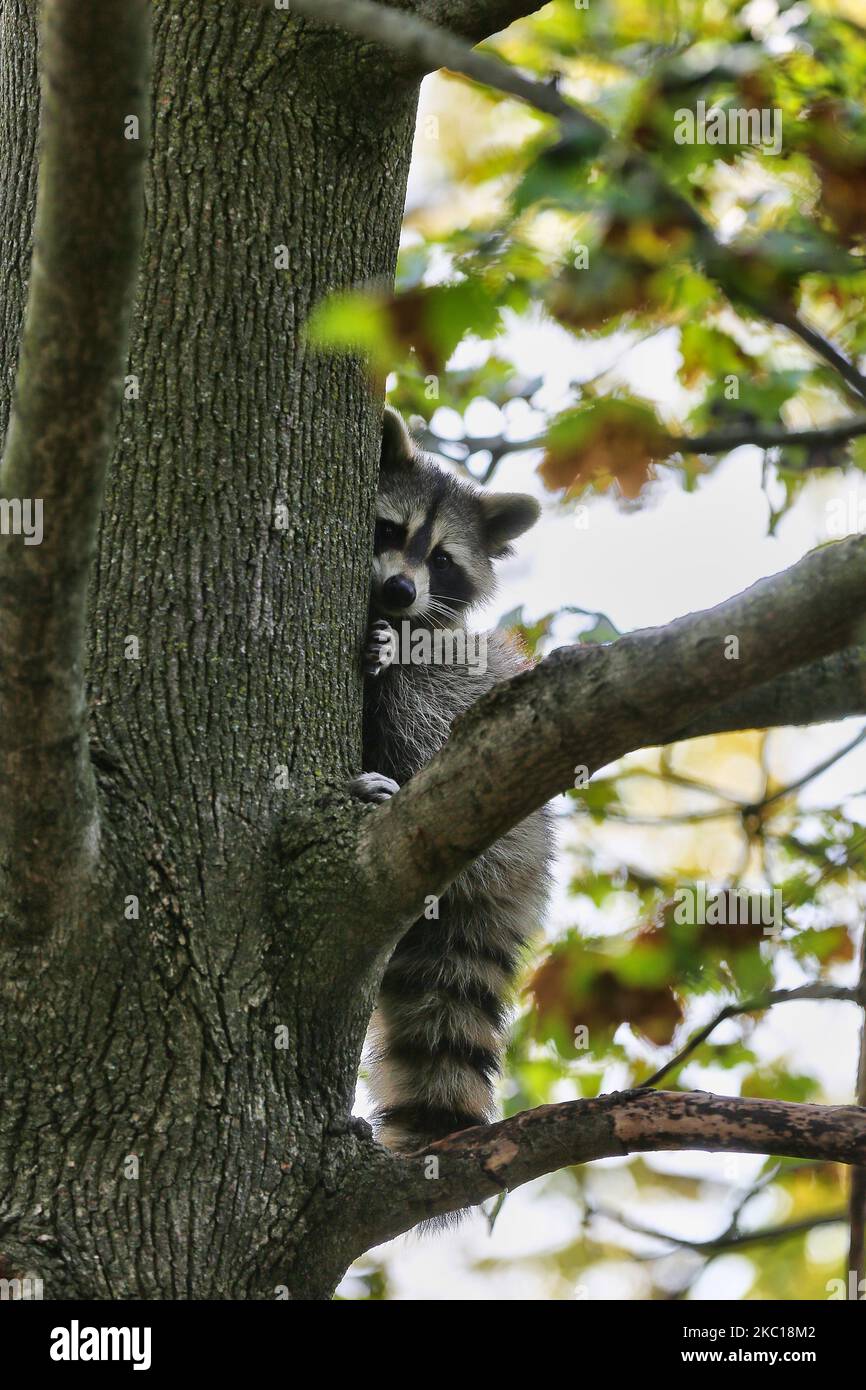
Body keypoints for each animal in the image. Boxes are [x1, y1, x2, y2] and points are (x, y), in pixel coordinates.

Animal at [351, 407, 553, 1156]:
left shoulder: (440, 642)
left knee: (424, 700)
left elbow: (427, 668)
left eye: (442, 560)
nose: (400, 590)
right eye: (389, 531)